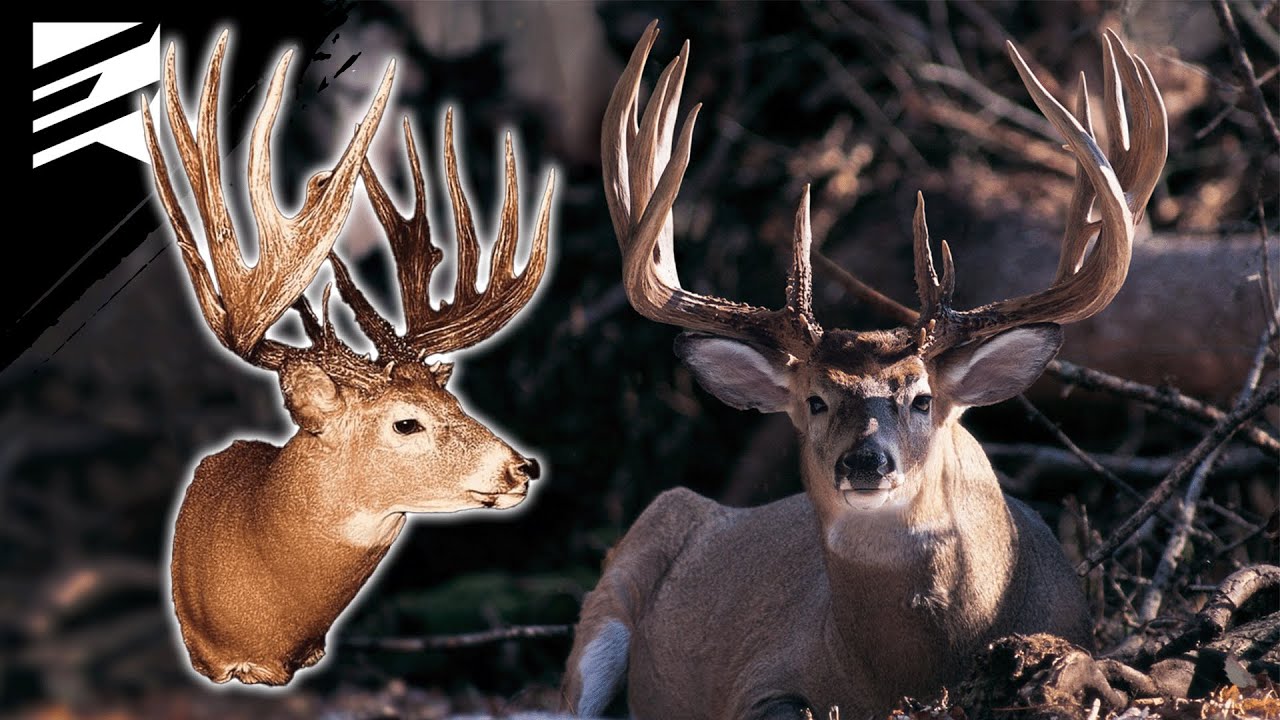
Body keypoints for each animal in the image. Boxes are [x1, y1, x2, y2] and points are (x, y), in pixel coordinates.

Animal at [562, 21, 1166, 720]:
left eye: (922, 397)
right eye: (815, 400)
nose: (865, 462)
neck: (909, 668)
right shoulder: (760, 681)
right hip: (620, 578)